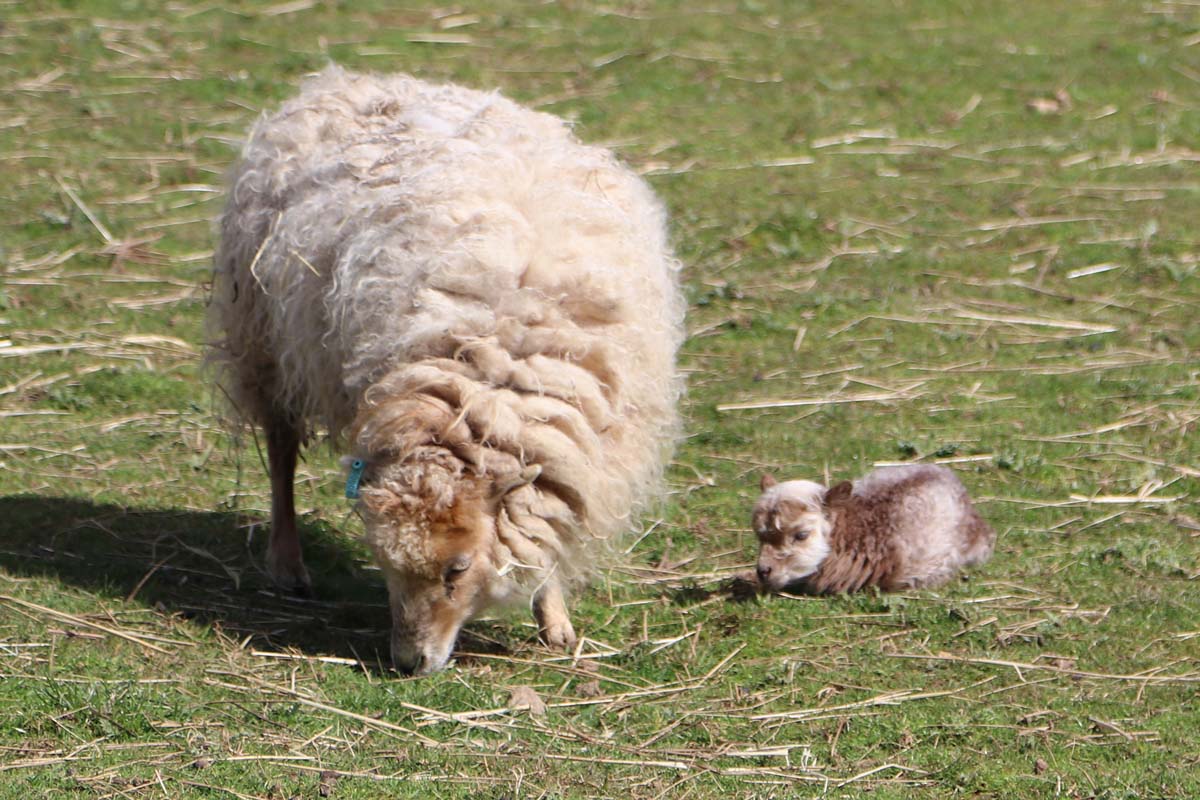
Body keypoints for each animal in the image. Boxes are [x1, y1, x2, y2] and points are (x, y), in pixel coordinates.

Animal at [208, 66, 684, 674]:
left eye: (457, 568)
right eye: (385, 564)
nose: (409, 663)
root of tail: (345, 79)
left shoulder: (571, 452)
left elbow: (540, 530)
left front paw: (555, 621)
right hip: (266, 341)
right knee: (281, 451)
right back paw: (288, 564)